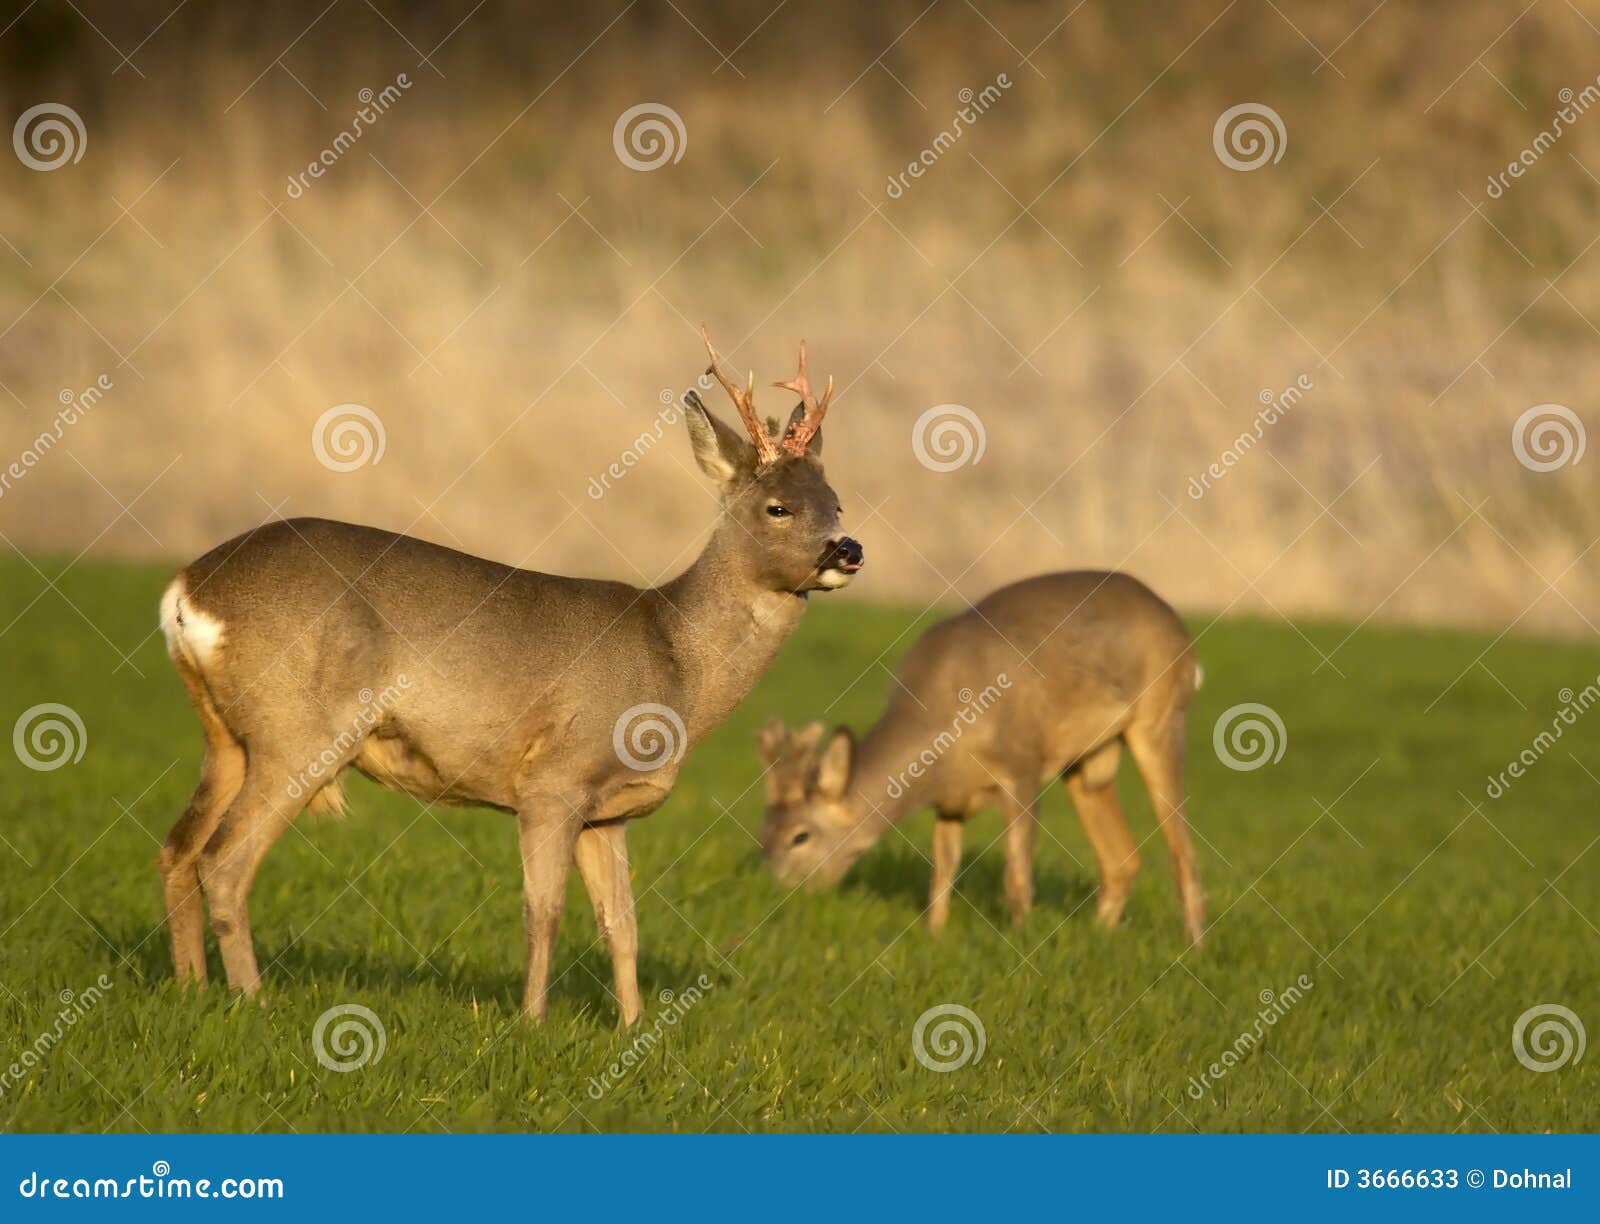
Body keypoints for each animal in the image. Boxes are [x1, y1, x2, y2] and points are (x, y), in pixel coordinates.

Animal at [157, 329, 863, 1027]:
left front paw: (633, 1030)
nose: (848, 549)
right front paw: (531, 1024)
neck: (675, 661)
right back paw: (252, 1000)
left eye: (836, 503)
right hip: (296, 732)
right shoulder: (552, 782)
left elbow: (623, 925)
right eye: (778, 507)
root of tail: (187, 590)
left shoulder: (608, 813)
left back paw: (191, 989)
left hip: (228, 738)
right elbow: (542, 913)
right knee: (224, 860)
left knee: (178, 848)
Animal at [756, 571, 1204, 943]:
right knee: (1122, 859)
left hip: (1159, 720)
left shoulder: (1022, 763)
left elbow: (1017, 875)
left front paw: (1021, 941)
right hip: (1088, 761)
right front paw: (935, 935)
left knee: (1182, 851)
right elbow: (942, 874)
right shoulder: (949, 801)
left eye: (801, 836)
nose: (770, 892)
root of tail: (1184, 638)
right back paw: (1101, 935)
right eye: (763, 834)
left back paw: (1192, 946)